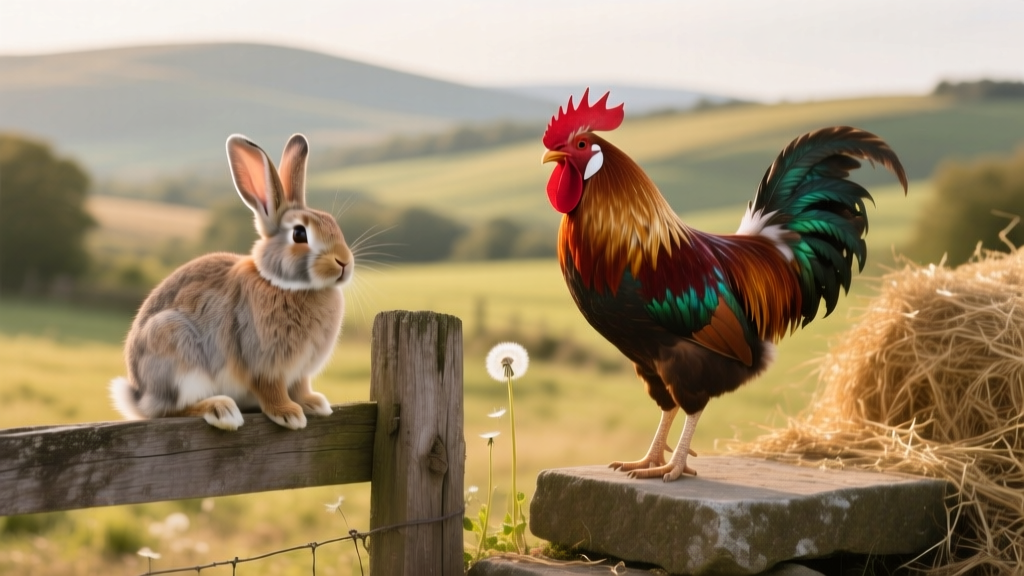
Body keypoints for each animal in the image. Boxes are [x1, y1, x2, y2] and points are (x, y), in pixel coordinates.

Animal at [109, 133, 352, 431]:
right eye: (299, 234)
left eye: (333, 223)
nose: (344, 262)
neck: (282, 283)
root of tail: (141, 397)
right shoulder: (263, 363)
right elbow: (271, 389)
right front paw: (289, 414)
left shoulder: (300, 371)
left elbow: (300, 387)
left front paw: (313, 403)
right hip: (177, 354)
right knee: (171, 410)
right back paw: (221, 410)